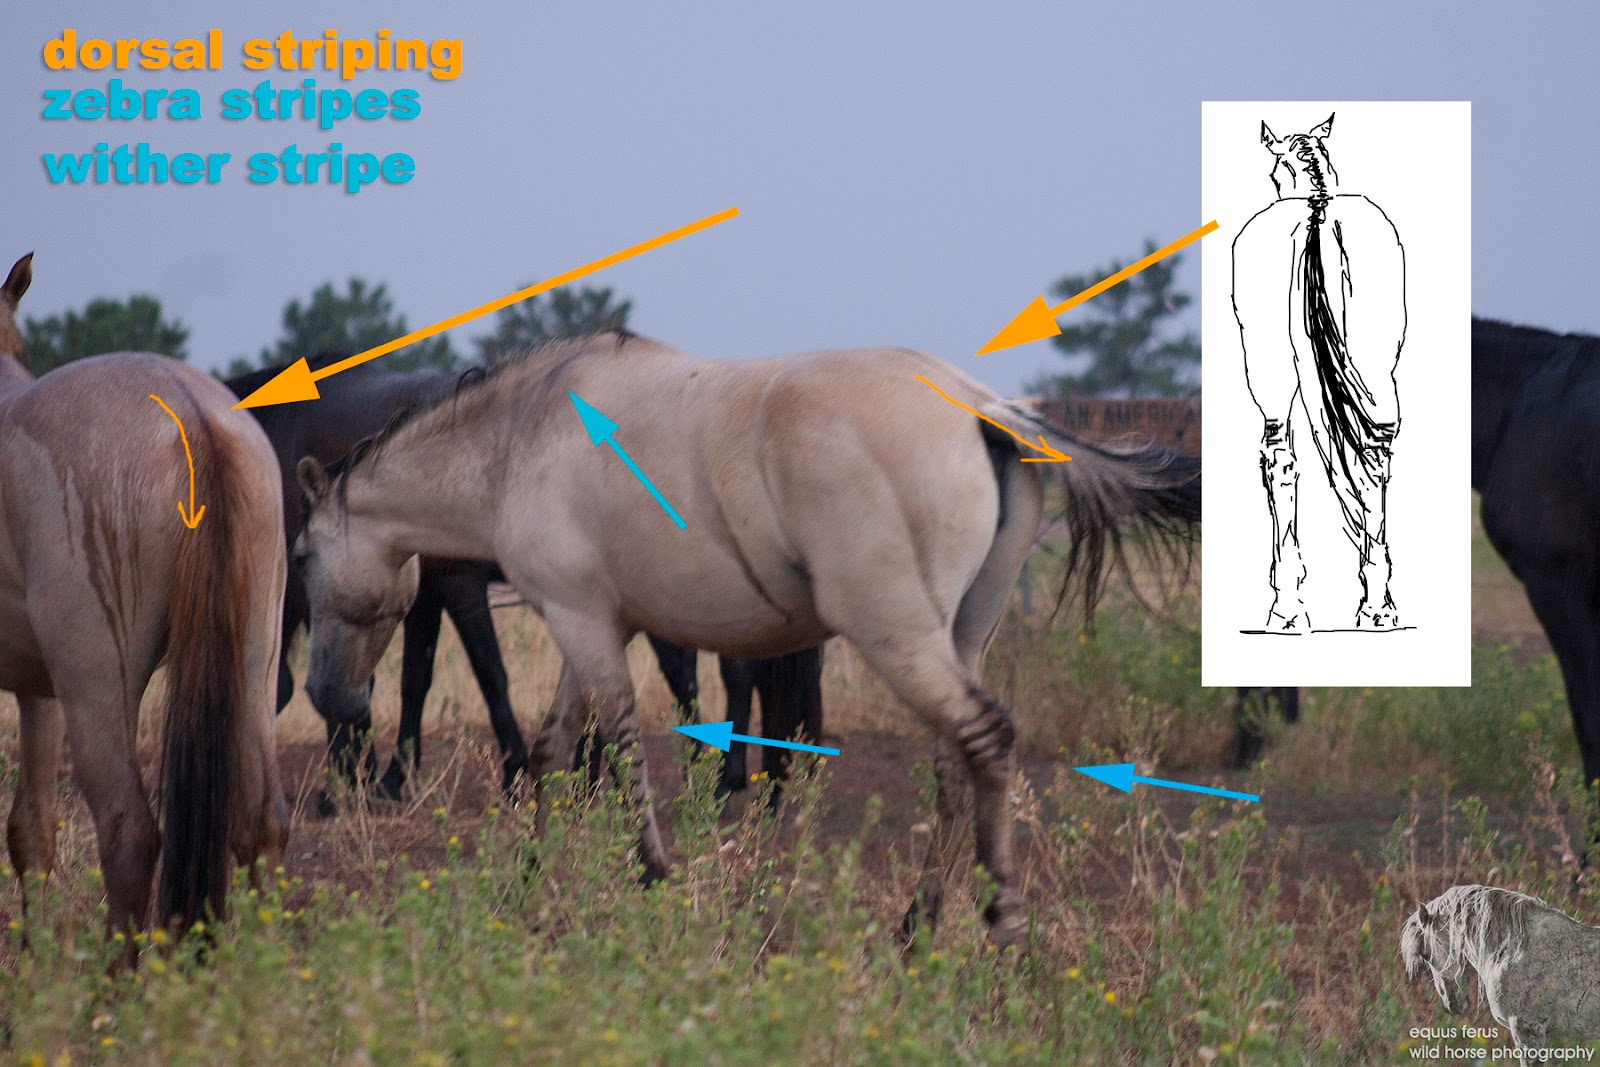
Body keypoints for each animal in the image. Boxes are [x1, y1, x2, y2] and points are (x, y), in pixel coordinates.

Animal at [0, 253, 287, 956]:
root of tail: (195, 416)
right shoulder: (39, 689)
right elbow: (31, 830)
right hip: (254, 661)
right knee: (261, 824)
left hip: (100, 683)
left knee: (129, 832)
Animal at [290, 332, 1199, 946]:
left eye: (300, 557)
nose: (329, 699)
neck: (523, 437)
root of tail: (984, 407)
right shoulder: (590, 621)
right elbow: (553, 750)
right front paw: (526, 882)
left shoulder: (582, 621)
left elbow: (620, 742)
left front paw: (653, 875)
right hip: (958, 637)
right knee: (958, 760)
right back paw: (917, 927)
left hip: (899, 636)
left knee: (986, 738)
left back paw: (1000, 917)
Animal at [1232, 113, 1407, 631]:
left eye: (1274, 169)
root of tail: (1317, 217)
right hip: (1375, 368)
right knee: (1374, 458)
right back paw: (1377, 605)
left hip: (1267, 367)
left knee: (1280, 458)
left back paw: (1288, 608)